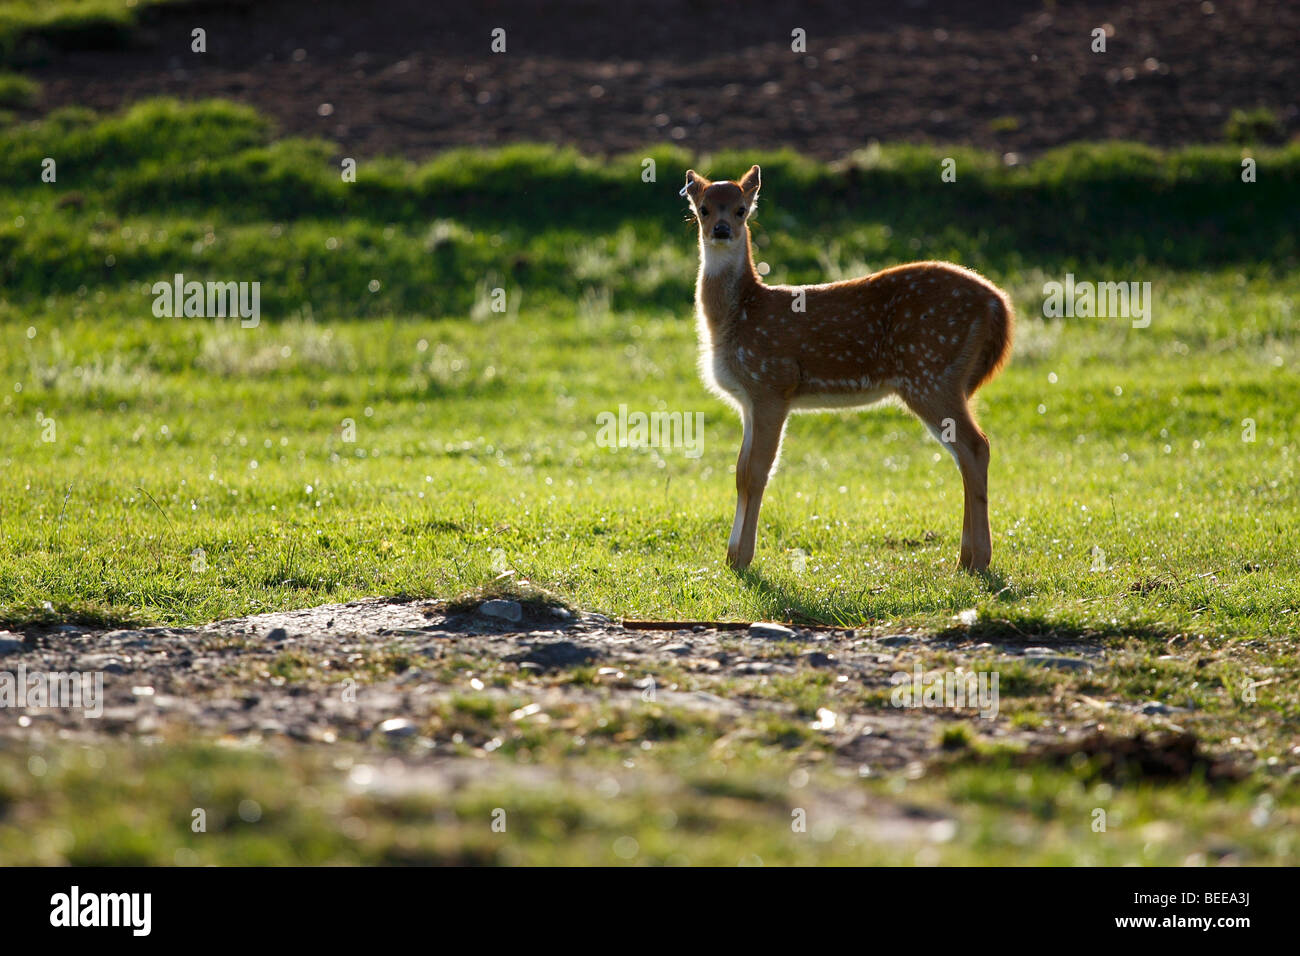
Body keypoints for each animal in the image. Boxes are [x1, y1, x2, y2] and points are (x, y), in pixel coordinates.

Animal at [682, 165, 1014, 573]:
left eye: (741, 209)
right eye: (703, 208)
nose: (722, 230)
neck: (737, 316)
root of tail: (999, 304)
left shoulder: (773, 383)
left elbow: (756, 472)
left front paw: (742, 559)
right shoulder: (748, 401)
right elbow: (740, 471)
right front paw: (731, 557)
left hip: (929, 372)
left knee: (976, 446)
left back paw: (975, 560)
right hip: (946, 379)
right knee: (964, 453)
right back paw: (967, 557)